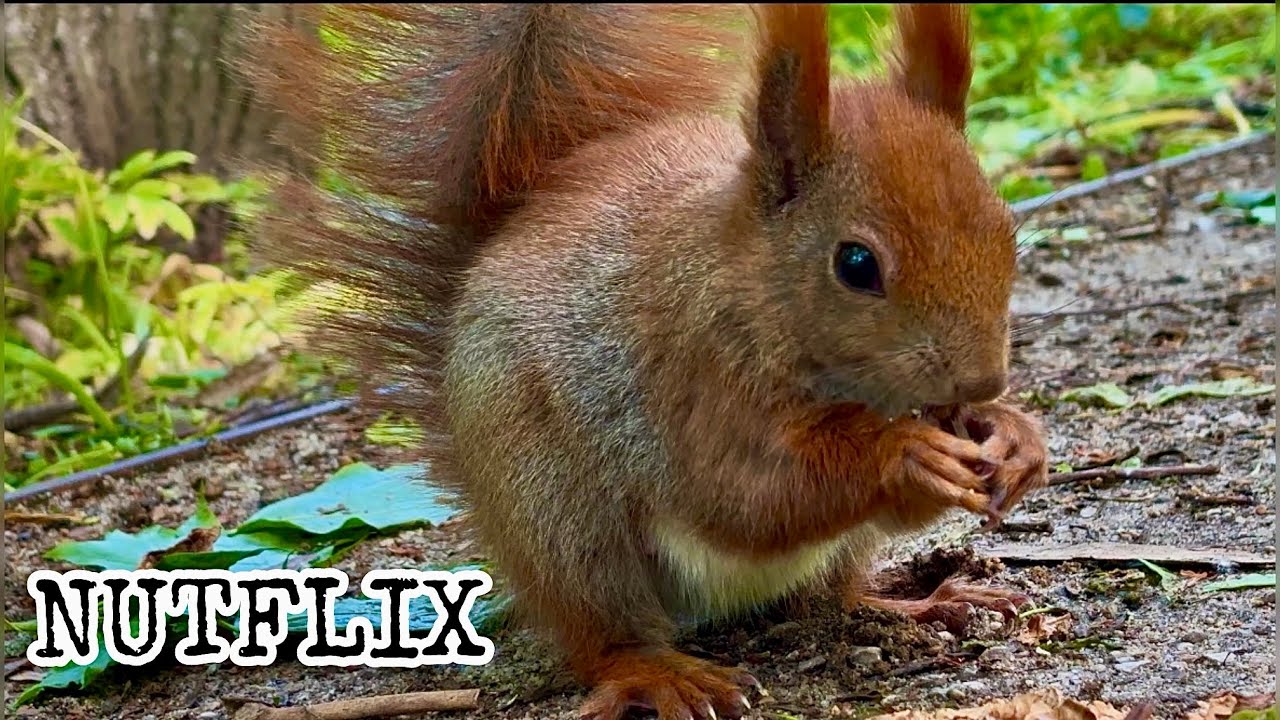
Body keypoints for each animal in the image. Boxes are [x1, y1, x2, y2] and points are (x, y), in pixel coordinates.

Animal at [247, 4, 1049, 719]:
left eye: (1006, 227)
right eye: (856, 264)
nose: (983, 379)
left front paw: (1014, 437)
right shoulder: (689, 366)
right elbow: (745, 493)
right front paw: (907, 453)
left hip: (828, 553)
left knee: (830, 593)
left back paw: (912, 603)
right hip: (558, 513)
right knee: (604, 632)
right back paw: (661, 674)